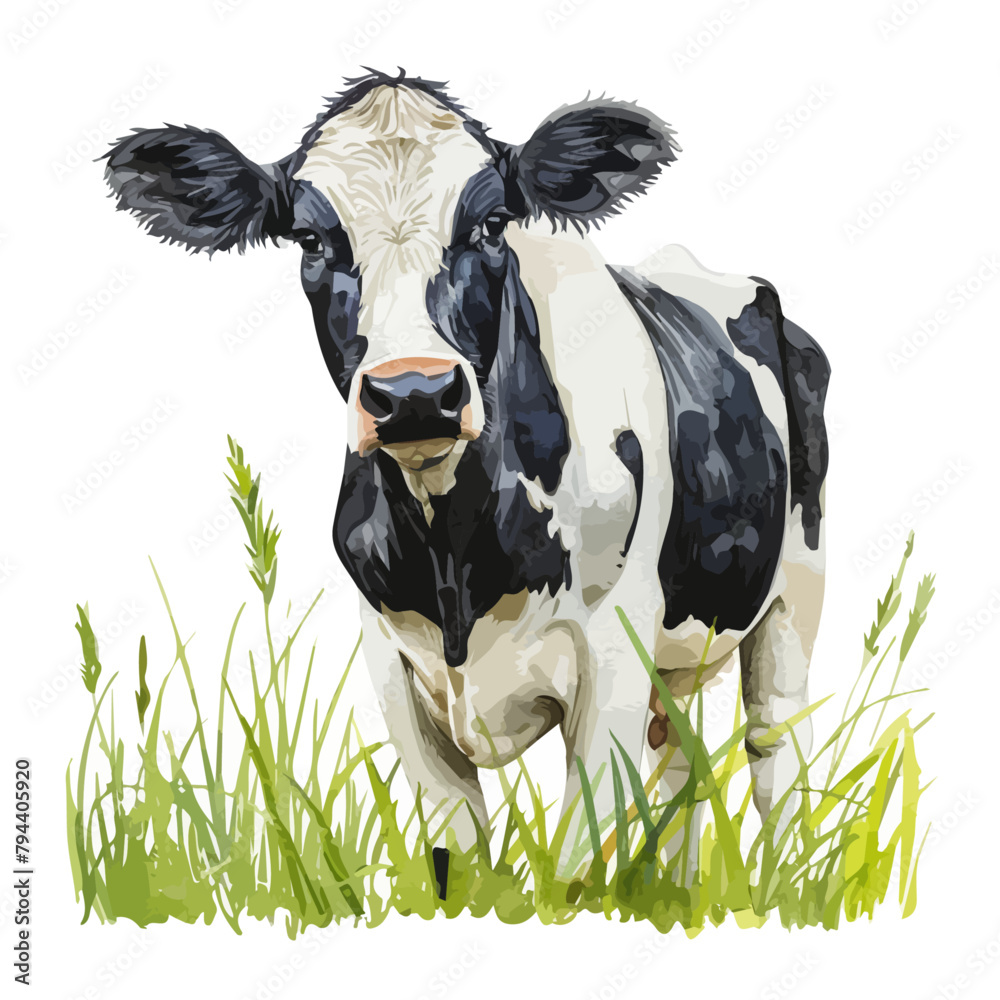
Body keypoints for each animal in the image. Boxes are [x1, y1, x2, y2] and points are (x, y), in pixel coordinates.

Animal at [102, 69, 830, 895]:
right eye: (312, 239)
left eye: (490, 225)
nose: (414, 393)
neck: (454, 553)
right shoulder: (391, 666)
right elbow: (455, 862)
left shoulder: (612, 649)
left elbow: (574, 871)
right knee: (682, 762)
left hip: (792, 594)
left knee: (775, 748)